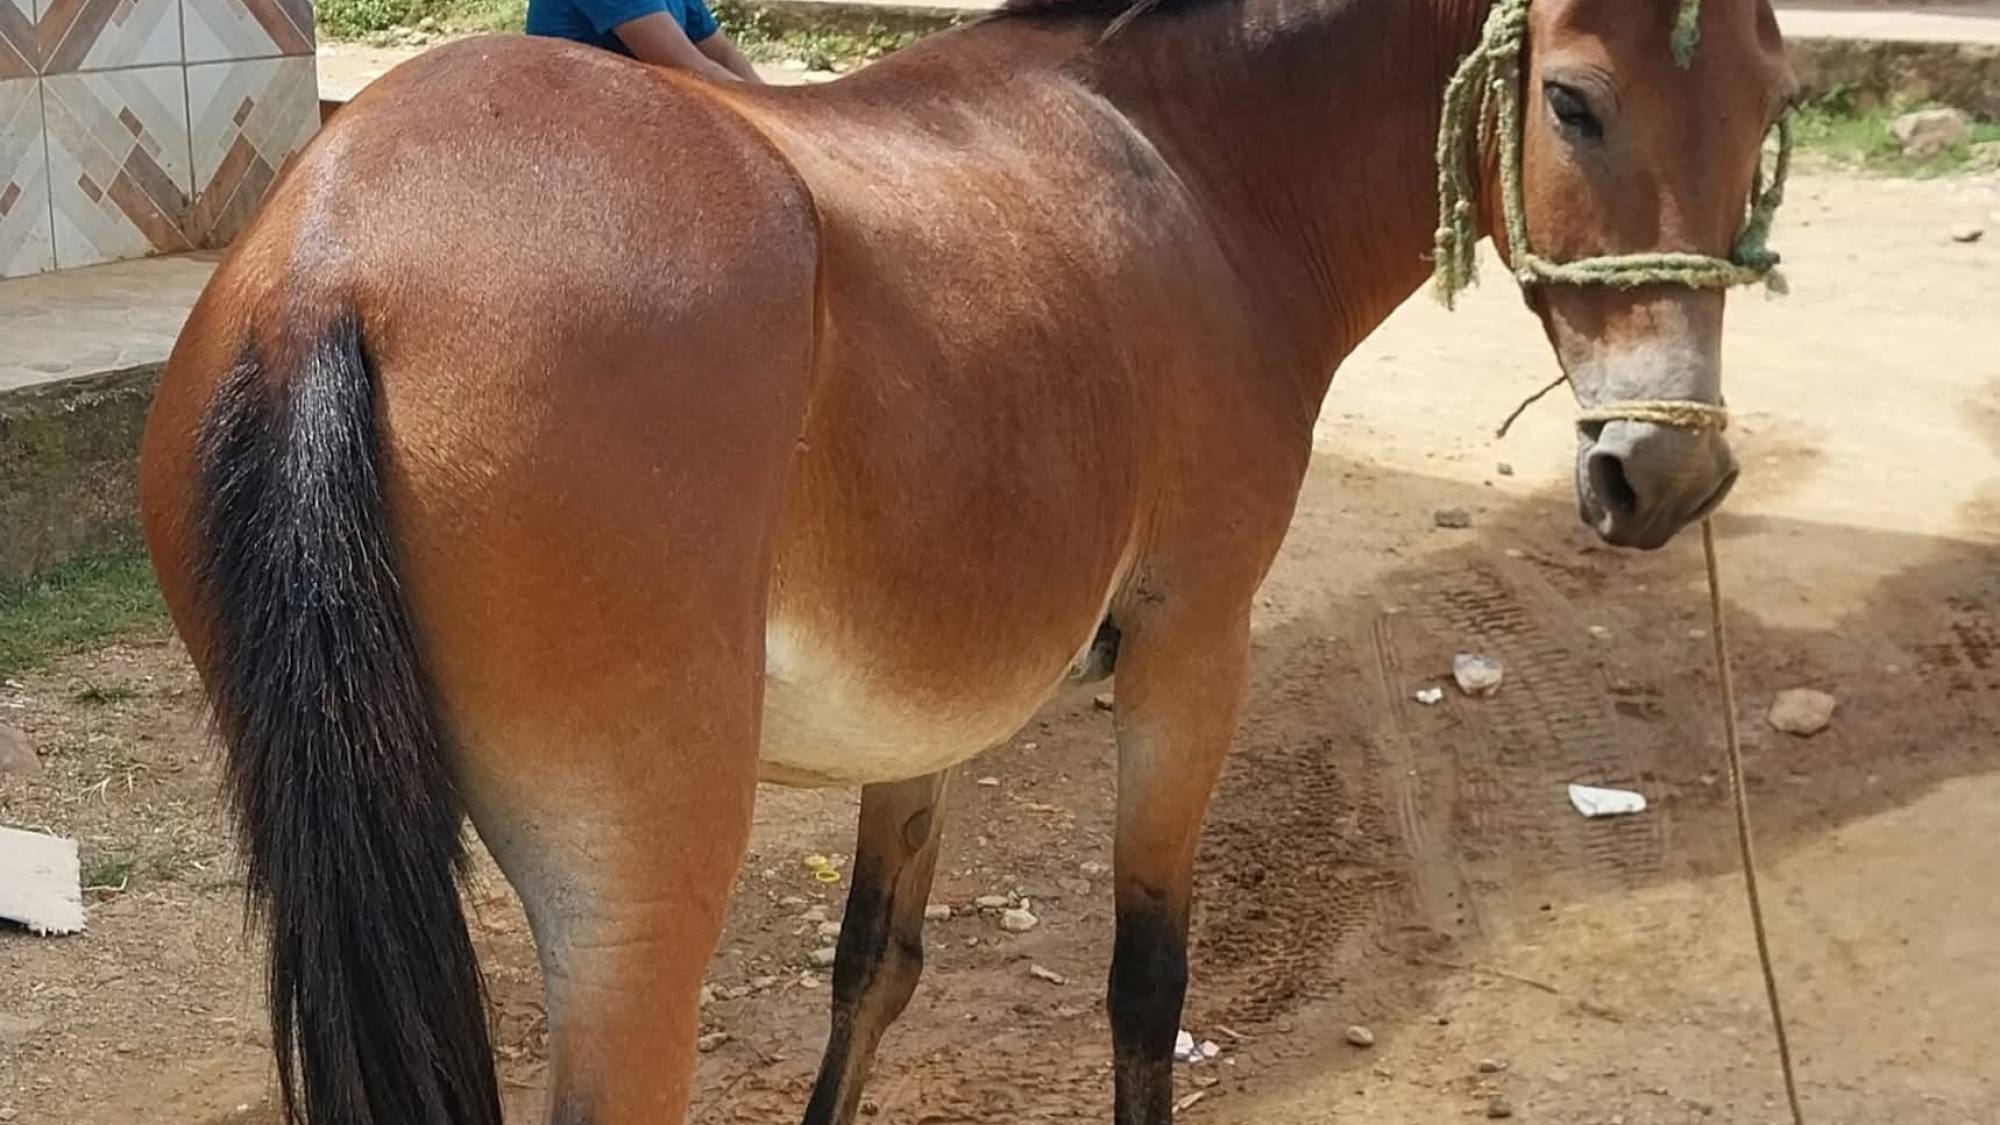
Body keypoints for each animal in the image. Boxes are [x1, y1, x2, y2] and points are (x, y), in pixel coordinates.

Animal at [135, 0, 1791, 1121]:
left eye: (1773, 102)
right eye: (1572, 102)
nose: (1670, 473)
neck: (1189, 167)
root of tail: (340, 252)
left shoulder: (918, 721)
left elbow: (875, 967)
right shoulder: (1196, 654)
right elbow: (1145, 984)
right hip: (636, 888)